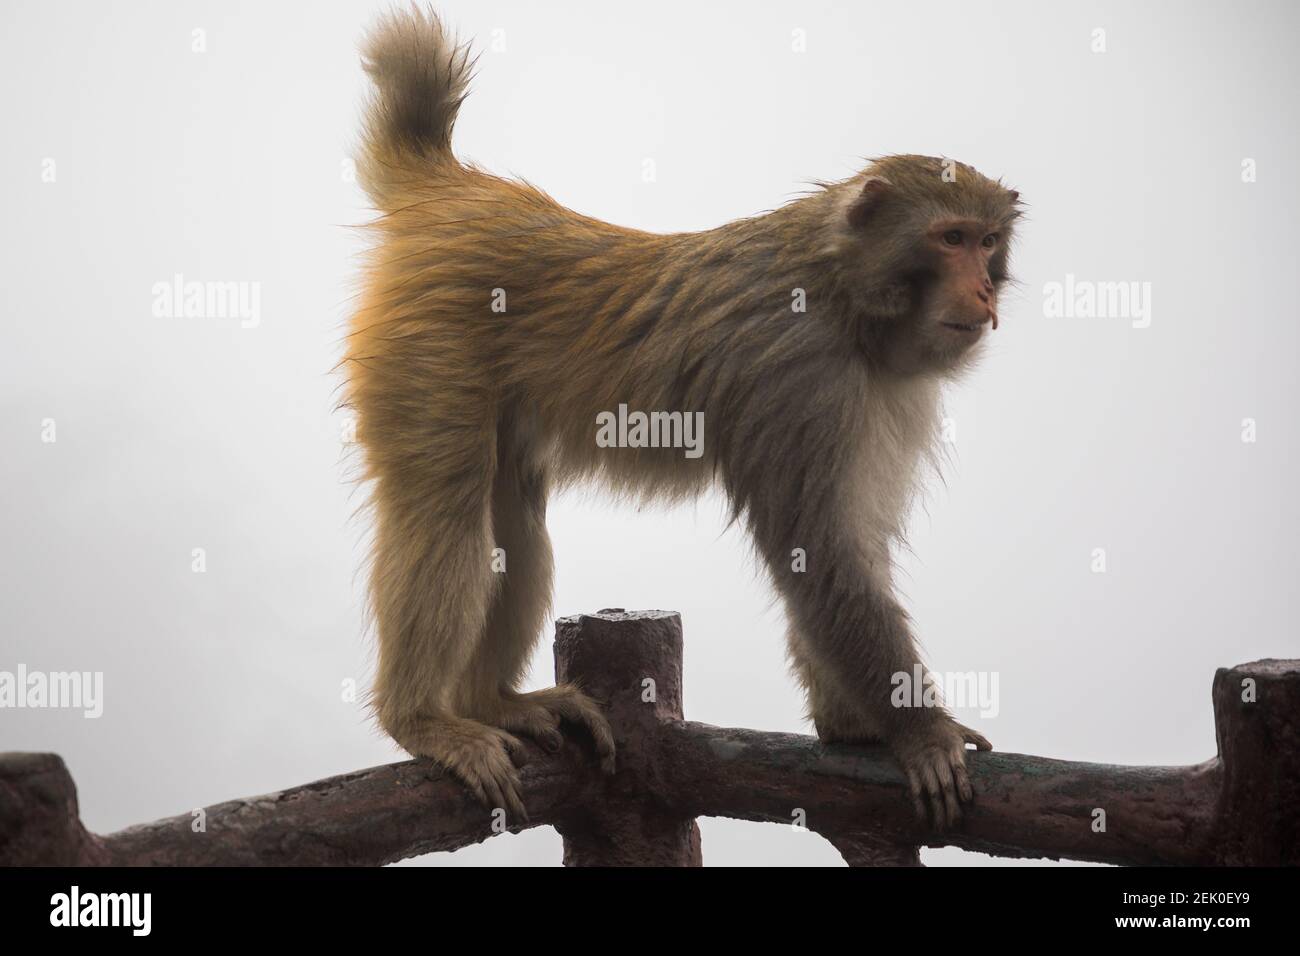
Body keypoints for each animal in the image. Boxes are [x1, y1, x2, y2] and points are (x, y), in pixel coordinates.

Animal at [344, 8, 1020, 829]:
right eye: (950, 238)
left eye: (988, 243)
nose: (983, 292)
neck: (842, 291)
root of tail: (459, 190)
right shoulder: (801, 378)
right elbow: (820, 553)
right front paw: (921, 732)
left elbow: (853, 541)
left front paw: (852, 724)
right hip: (428, 341)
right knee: (444, 502)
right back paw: (421, 720)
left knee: (511, 510)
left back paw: (491, 701)